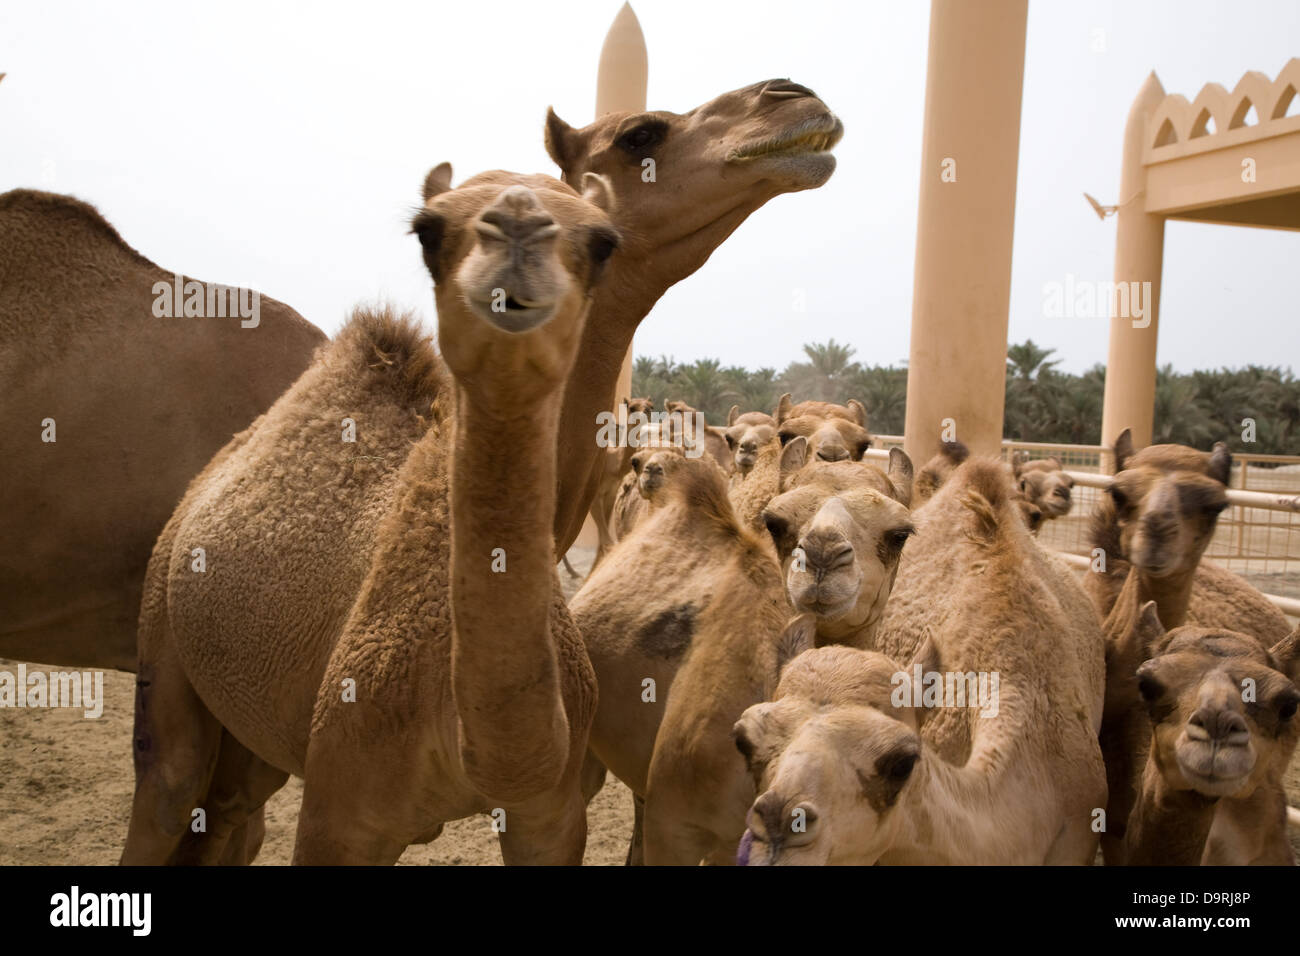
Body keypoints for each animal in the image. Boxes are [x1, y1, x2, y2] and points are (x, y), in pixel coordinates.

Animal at [121, 166, 620, 865]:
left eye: (604, 243)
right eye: (428, 230)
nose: (517, 226)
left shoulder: (553, 811)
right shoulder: (342, 807)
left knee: (226, 803)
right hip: (161, 614)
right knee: (168, 785)